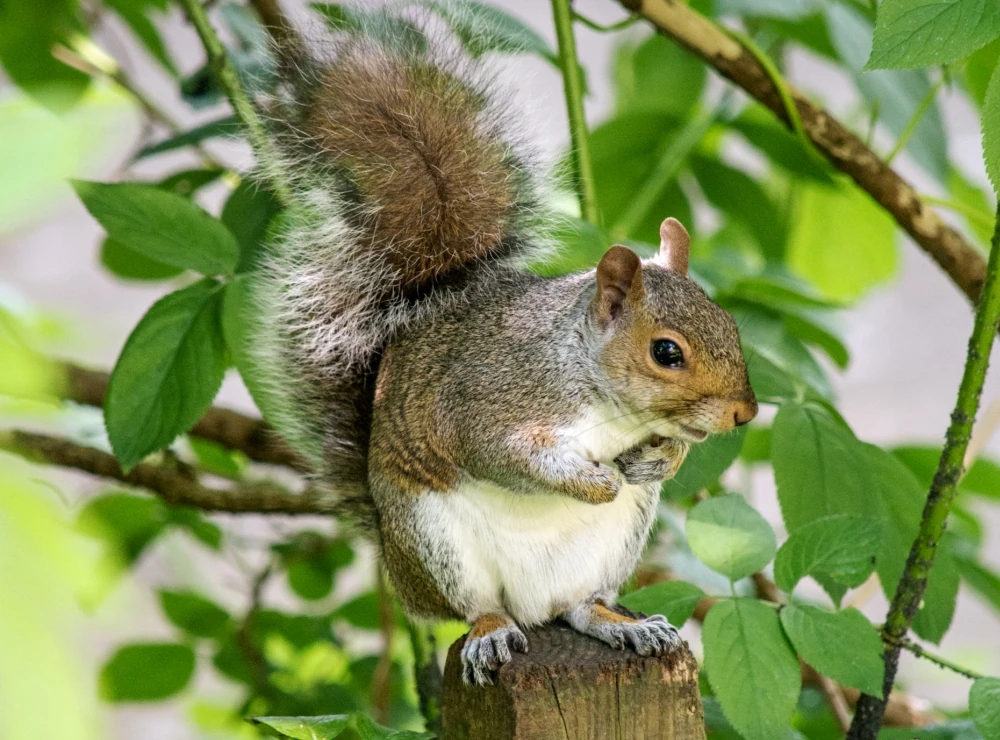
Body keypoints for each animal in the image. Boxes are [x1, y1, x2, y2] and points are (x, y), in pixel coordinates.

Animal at [249, 8, 757, 686]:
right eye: (667, 353)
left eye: (728, 323)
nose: (744, 412)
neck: (596, 389)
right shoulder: (489, 399)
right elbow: (504, 454)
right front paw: (596, 481)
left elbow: (664, 452)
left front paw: (657, 463)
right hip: (435, 543)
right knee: (476, 608)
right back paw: (492, 631)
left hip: (613, 547)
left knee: (579, 606)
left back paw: (622, 624)